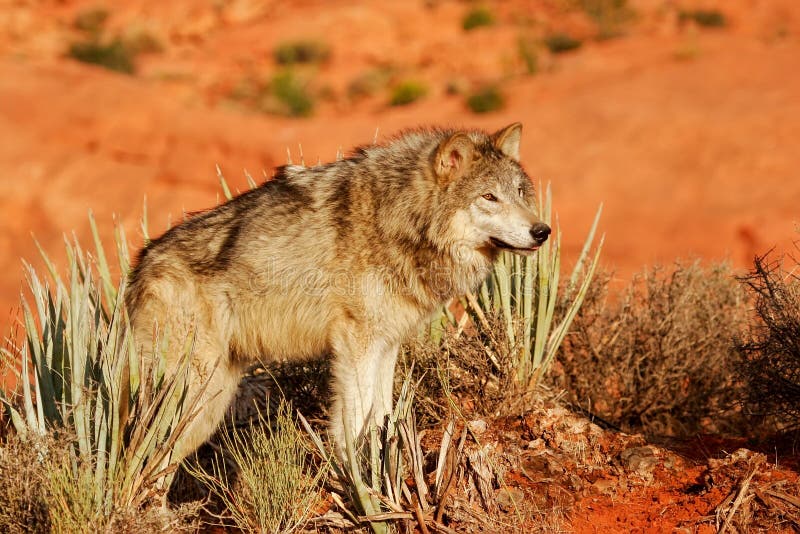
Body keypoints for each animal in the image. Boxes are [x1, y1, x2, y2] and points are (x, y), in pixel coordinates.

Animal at [125, 123, 551, 461]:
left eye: (519, 192)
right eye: (489, 197)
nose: (542, 231)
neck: (397, 218)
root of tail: (138, 269)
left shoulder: (386, 344)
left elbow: (381, 414)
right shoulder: (355, 344)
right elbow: (355, 420)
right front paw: (360, 475)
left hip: (211, 401)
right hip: (192, 393)